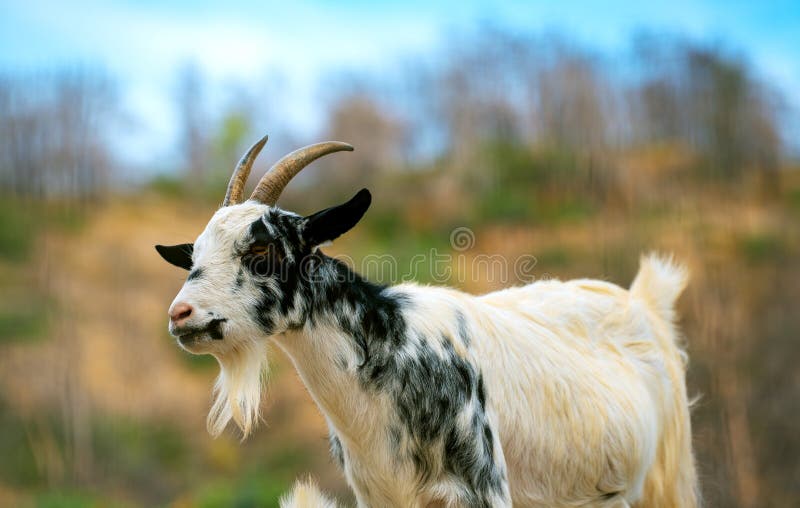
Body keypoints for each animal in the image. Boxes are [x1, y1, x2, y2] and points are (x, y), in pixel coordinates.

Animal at [156, 136, 699, 507]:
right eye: (193, 257)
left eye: (262, 250)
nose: (180, 315)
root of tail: (645, 299)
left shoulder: (483, 488)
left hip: (667, 479)